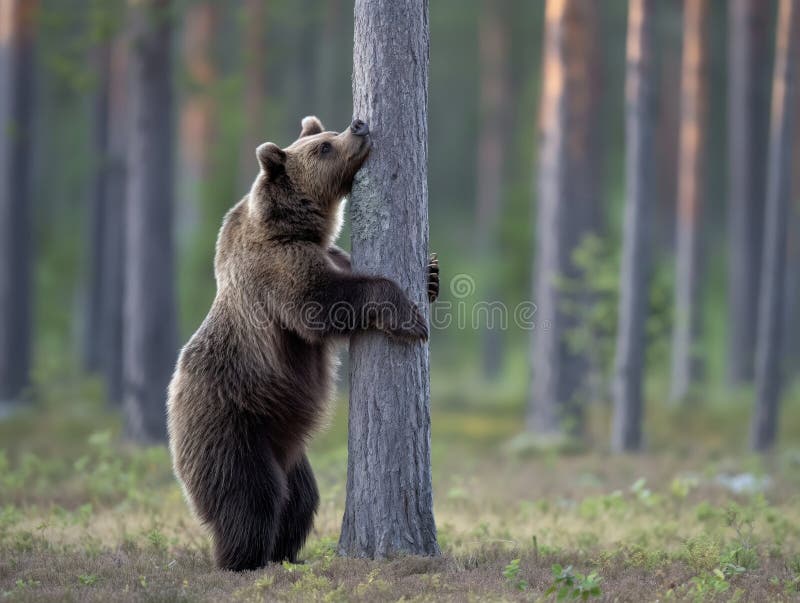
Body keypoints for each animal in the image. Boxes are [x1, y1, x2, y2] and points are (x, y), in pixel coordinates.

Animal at [167, 116, 440, 572]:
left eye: (327, 134)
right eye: (324, 147)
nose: (359, 125)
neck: (292, 227)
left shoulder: (327, 252)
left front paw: (432, 275)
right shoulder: (277, 268)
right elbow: (322, 302)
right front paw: (407, 315)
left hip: (287, 443)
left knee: (300, 497)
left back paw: (287, 554)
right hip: (231, 422)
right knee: (250, 495)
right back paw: (244, 559)